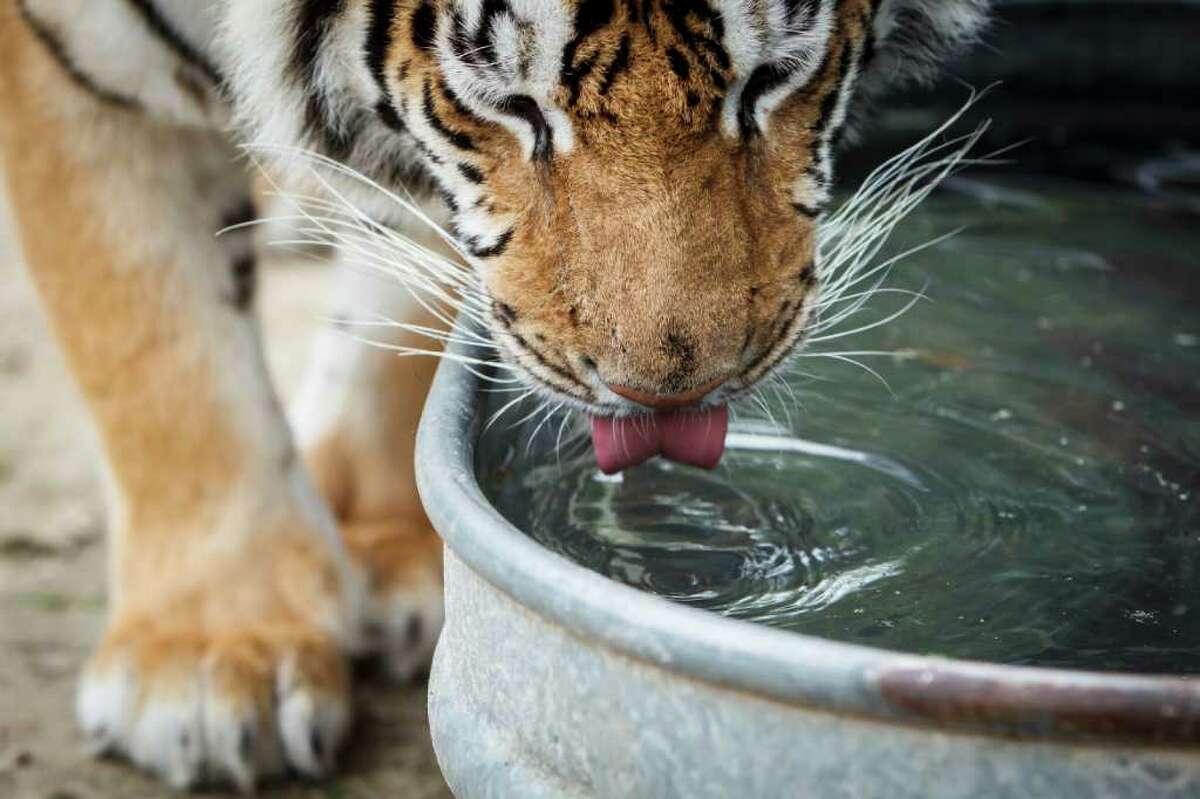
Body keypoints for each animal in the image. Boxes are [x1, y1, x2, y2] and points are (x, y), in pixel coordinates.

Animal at [0, 0, 987, 790]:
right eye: (509, 104)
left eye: (774, 78)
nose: (673, 393)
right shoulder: (61, 63)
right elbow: (153, 328)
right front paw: (214, 656)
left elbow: (408, 275)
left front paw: (384, 541)